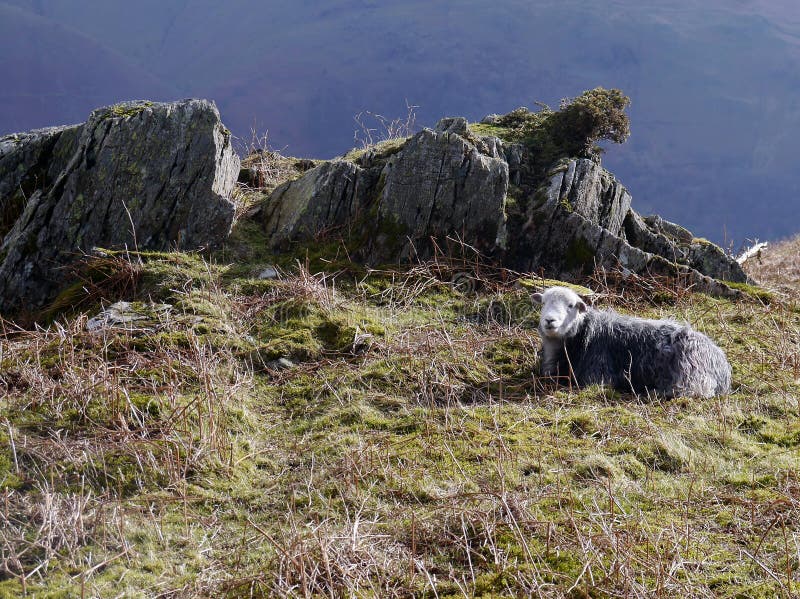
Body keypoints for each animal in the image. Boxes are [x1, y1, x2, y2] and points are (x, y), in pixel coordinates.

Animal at [531, 286, 731, 398]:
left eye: (571, 305)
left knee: (690, 391)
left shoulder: (598, 375)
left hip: (690, 372)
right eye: (543, 302)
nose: (549, 320)